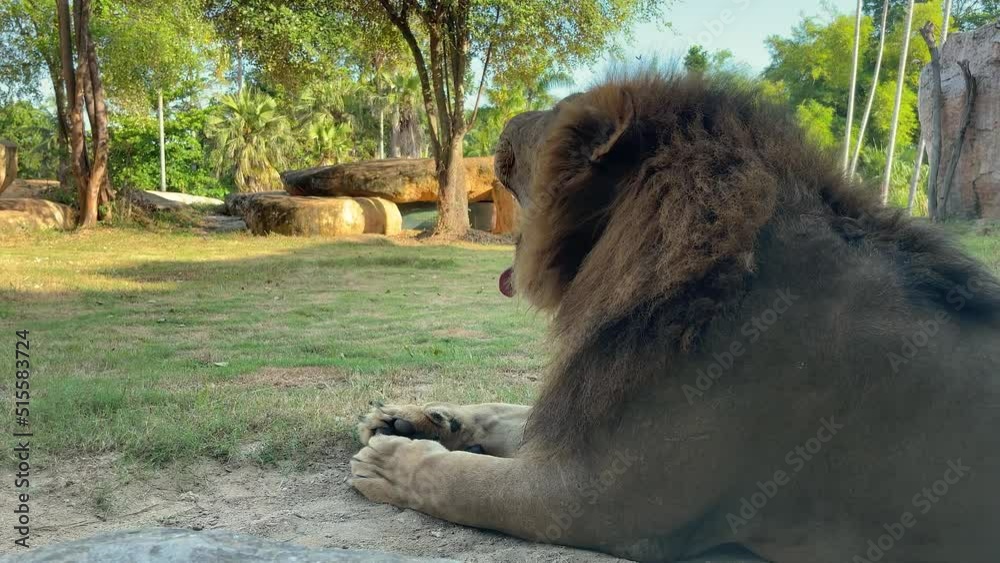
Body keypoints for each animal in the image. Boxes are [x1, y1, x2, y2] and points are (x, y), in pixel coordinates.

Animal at [350, 72, 1000, 562]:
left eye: (559, 115)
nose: (504, 123)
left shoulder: (591, 500)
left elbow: (464, 484)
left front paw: (389, 462)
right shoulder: (584, 418)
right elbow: (503, 412)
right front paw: (409, 416)